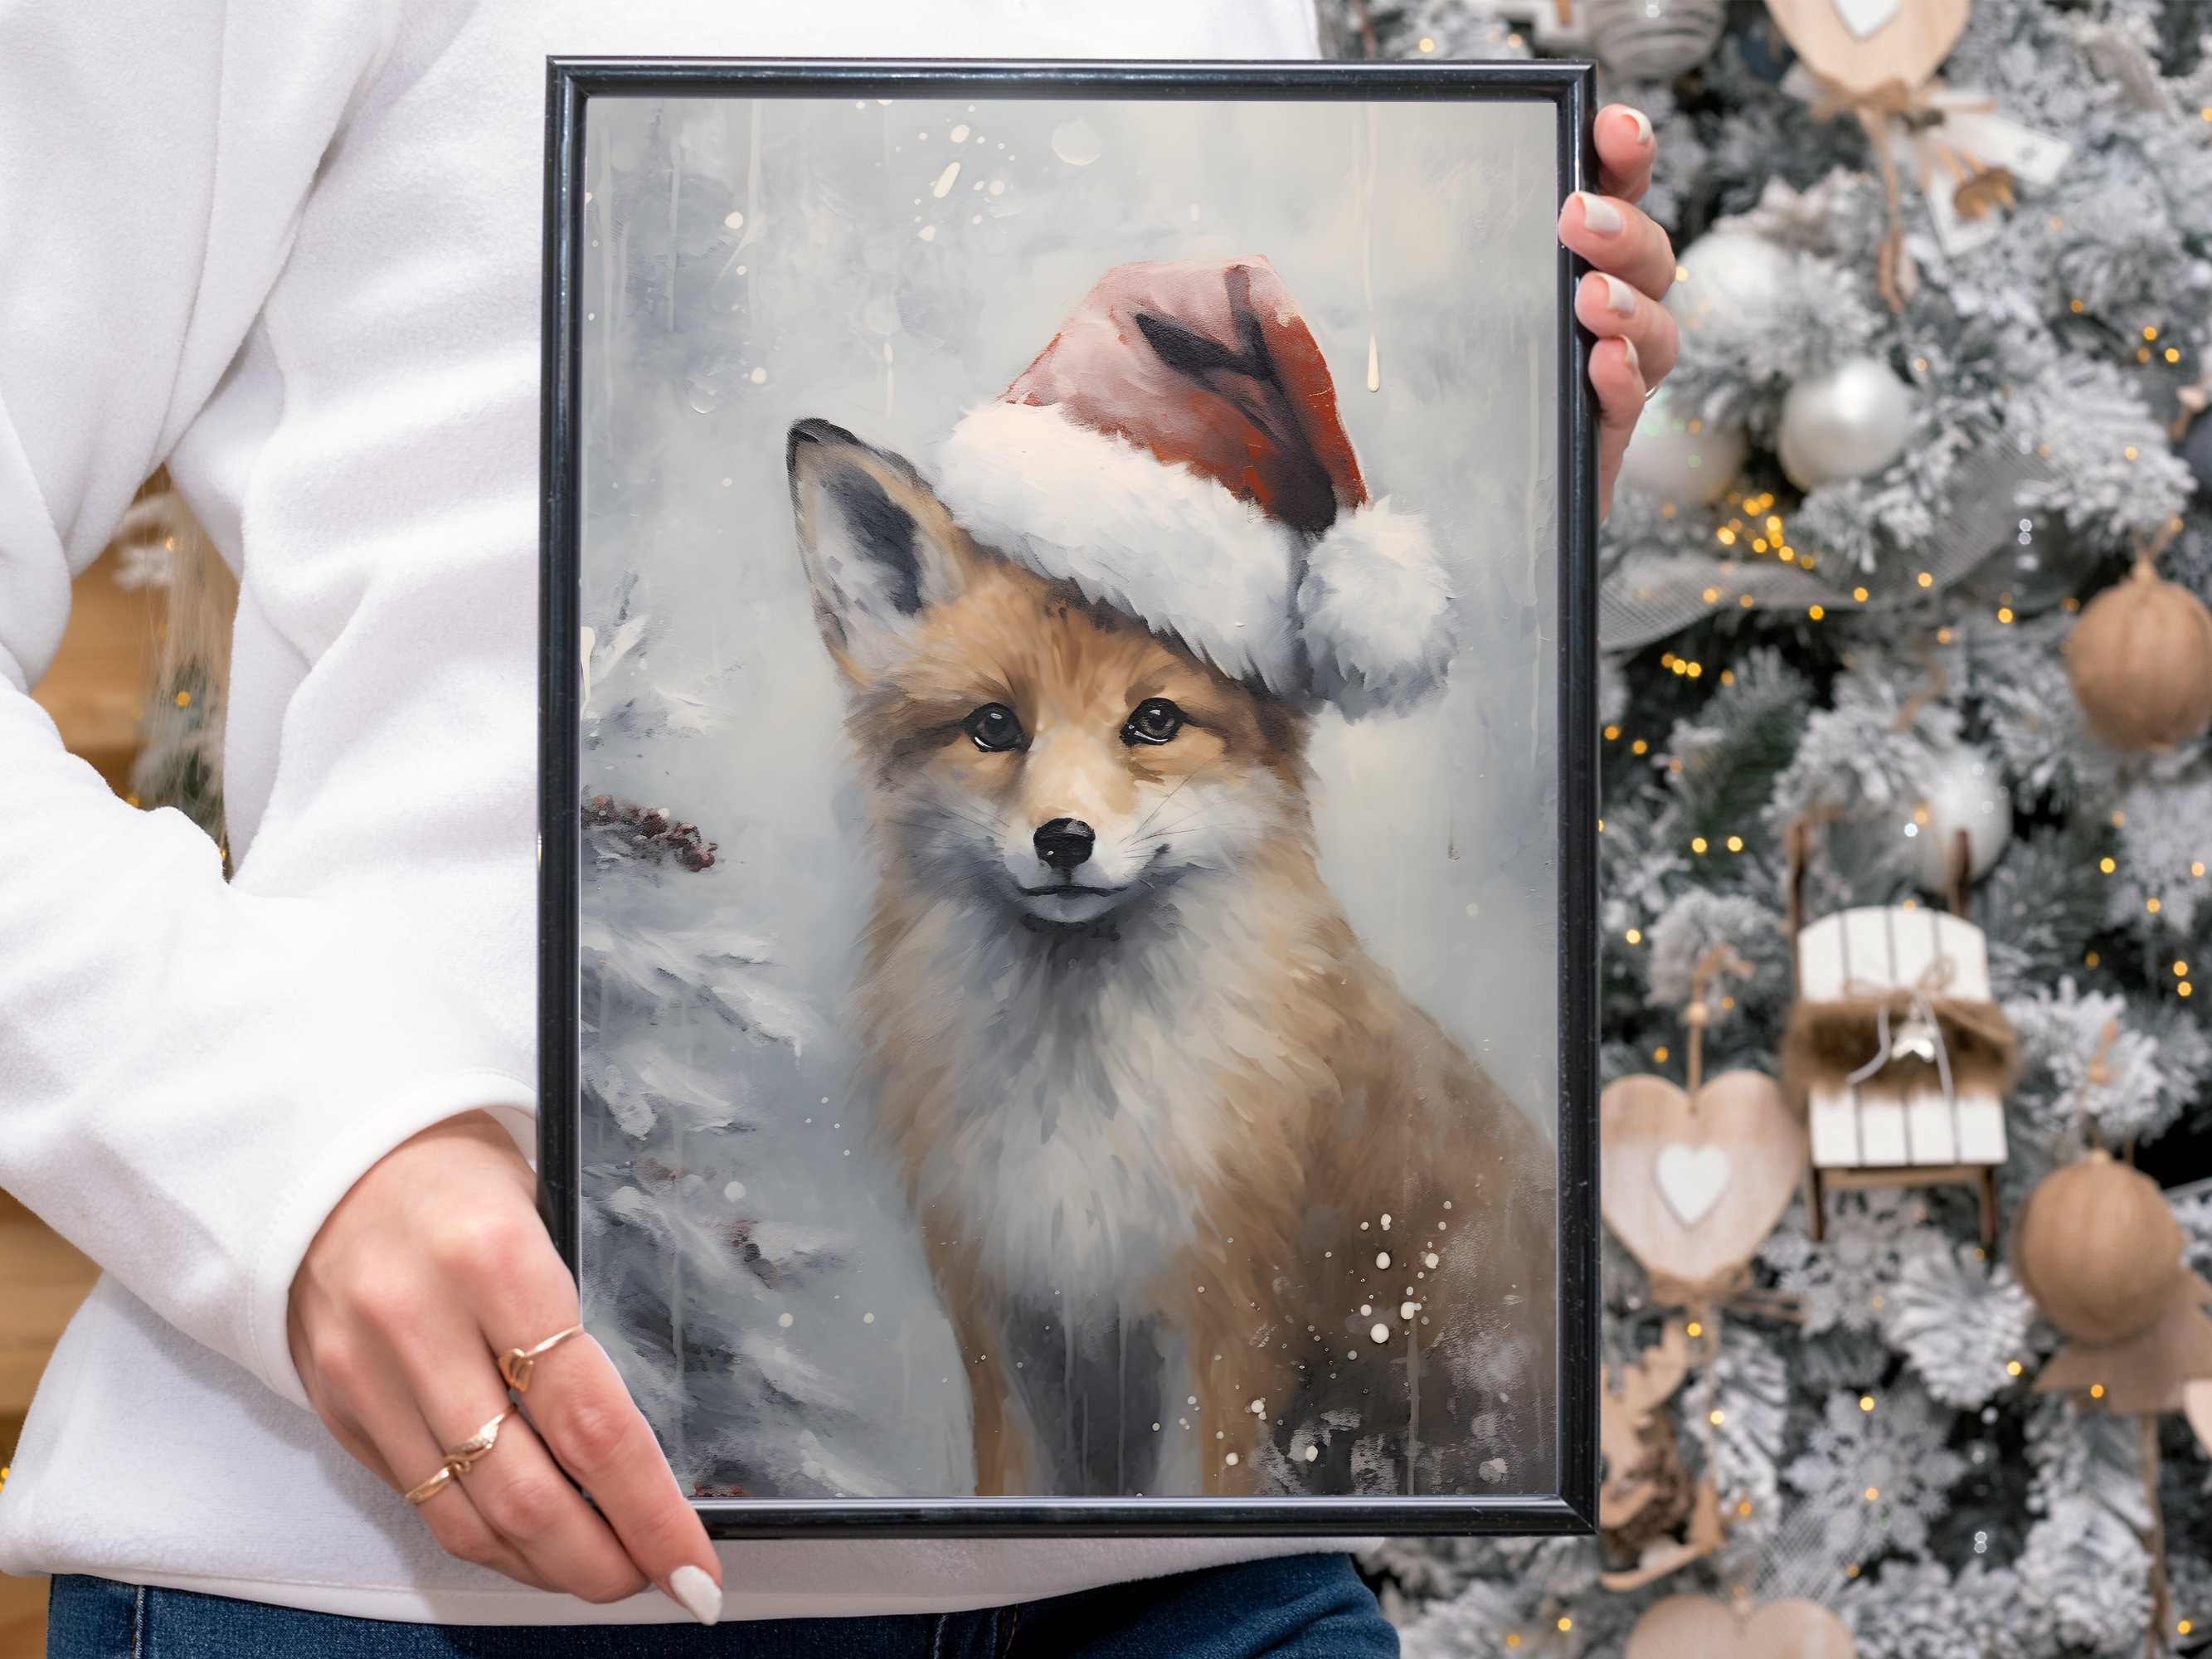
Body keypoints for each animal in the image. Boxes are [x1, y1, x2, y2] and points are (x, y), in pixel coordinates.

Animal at [785, 415, 1556, 1499]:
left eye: (1153, 720)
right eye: (993, 726)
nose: (1063, 840)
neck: (1080, 1103)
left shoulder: (1222, 1326)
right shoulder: (1007, 1324)